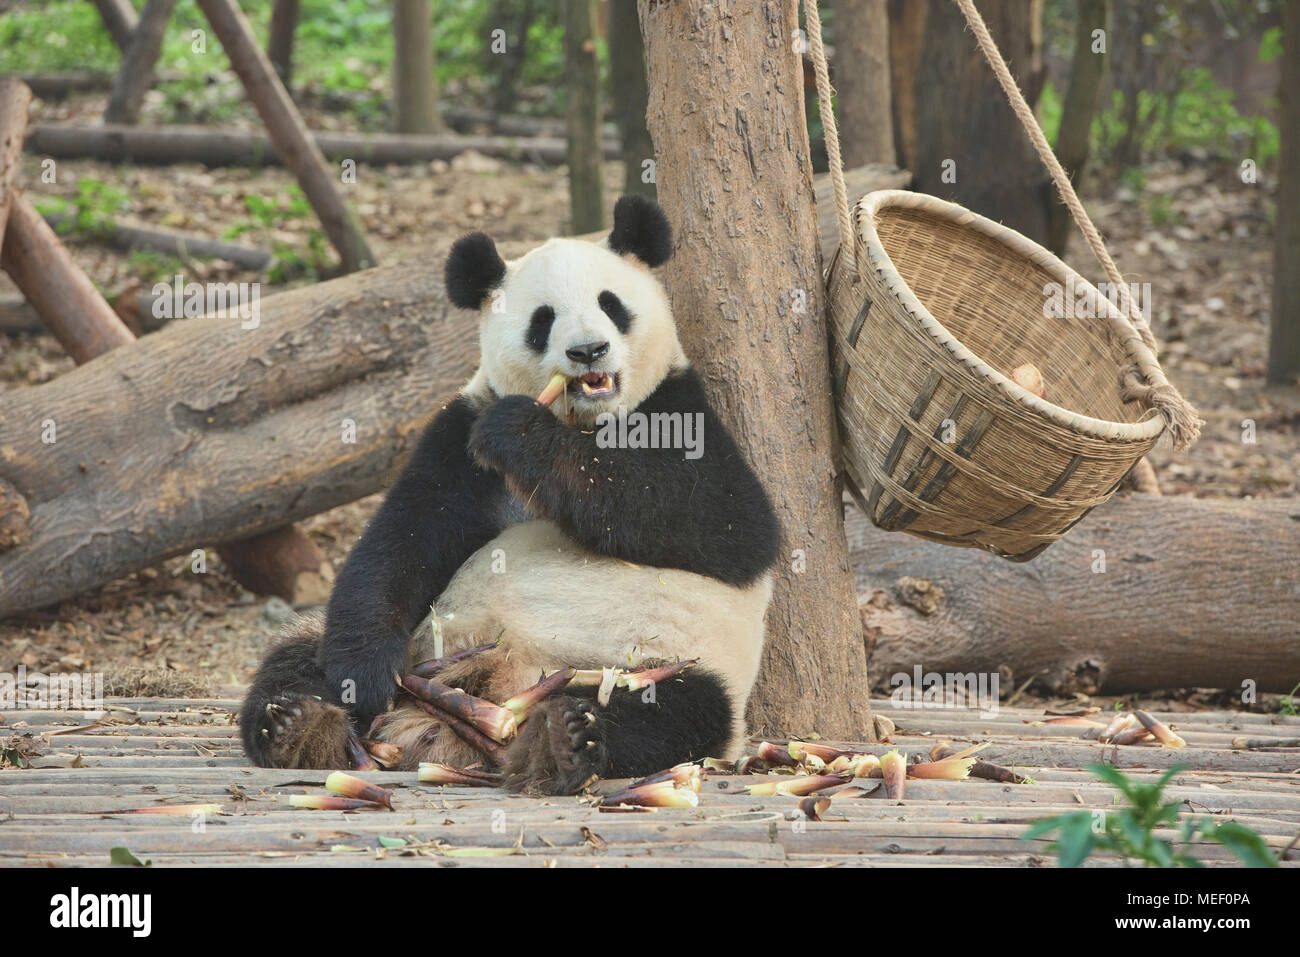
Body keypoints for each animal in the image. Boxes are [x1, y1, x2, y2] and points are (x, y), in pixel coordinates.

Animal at [239, 196, 781, 794]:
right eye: (542, 320)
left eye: (610, 304)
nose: (588, 351)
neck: (586, 423)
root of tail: (489, 690)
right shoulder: (461, 436)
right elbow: (402, 540)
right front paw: (363, 678)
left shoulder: (680, 408)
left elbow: (726, 524)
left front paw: (522, 433)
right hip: (422, 649)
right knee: (295, 657)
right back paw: (295, 724)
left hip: (659, 666)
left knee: (674, 711)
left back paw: (562, 740)